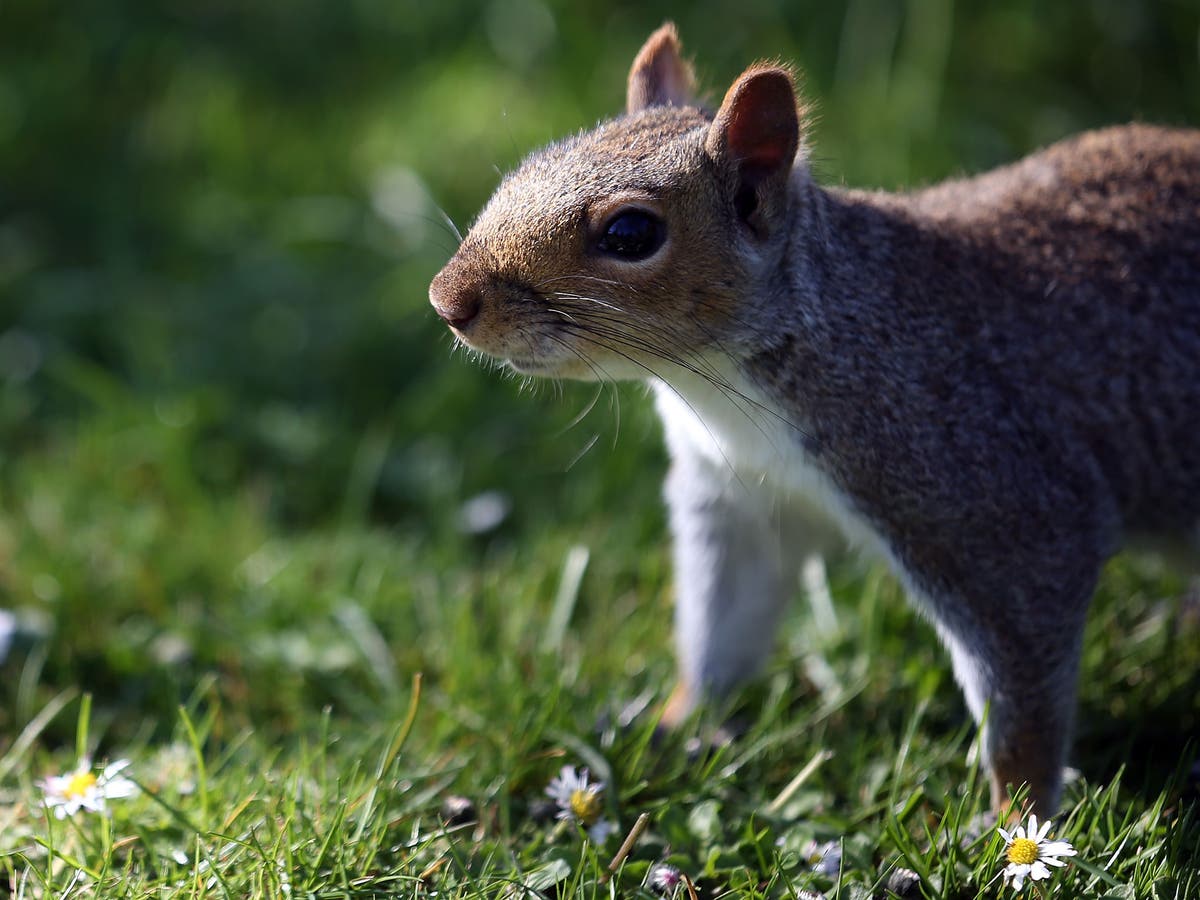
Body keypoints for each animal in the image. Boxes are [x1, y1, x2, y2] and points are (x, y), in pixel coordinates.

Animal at [429, 23, 1200, 813]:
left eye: (630, 233)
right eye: (525, 168)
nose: (448, 300)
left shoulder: (995, 499)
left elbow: (1023, 682)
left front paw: (1013, 819)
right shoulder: (744, 500)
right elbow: (724, 626)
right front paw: (677, 725)